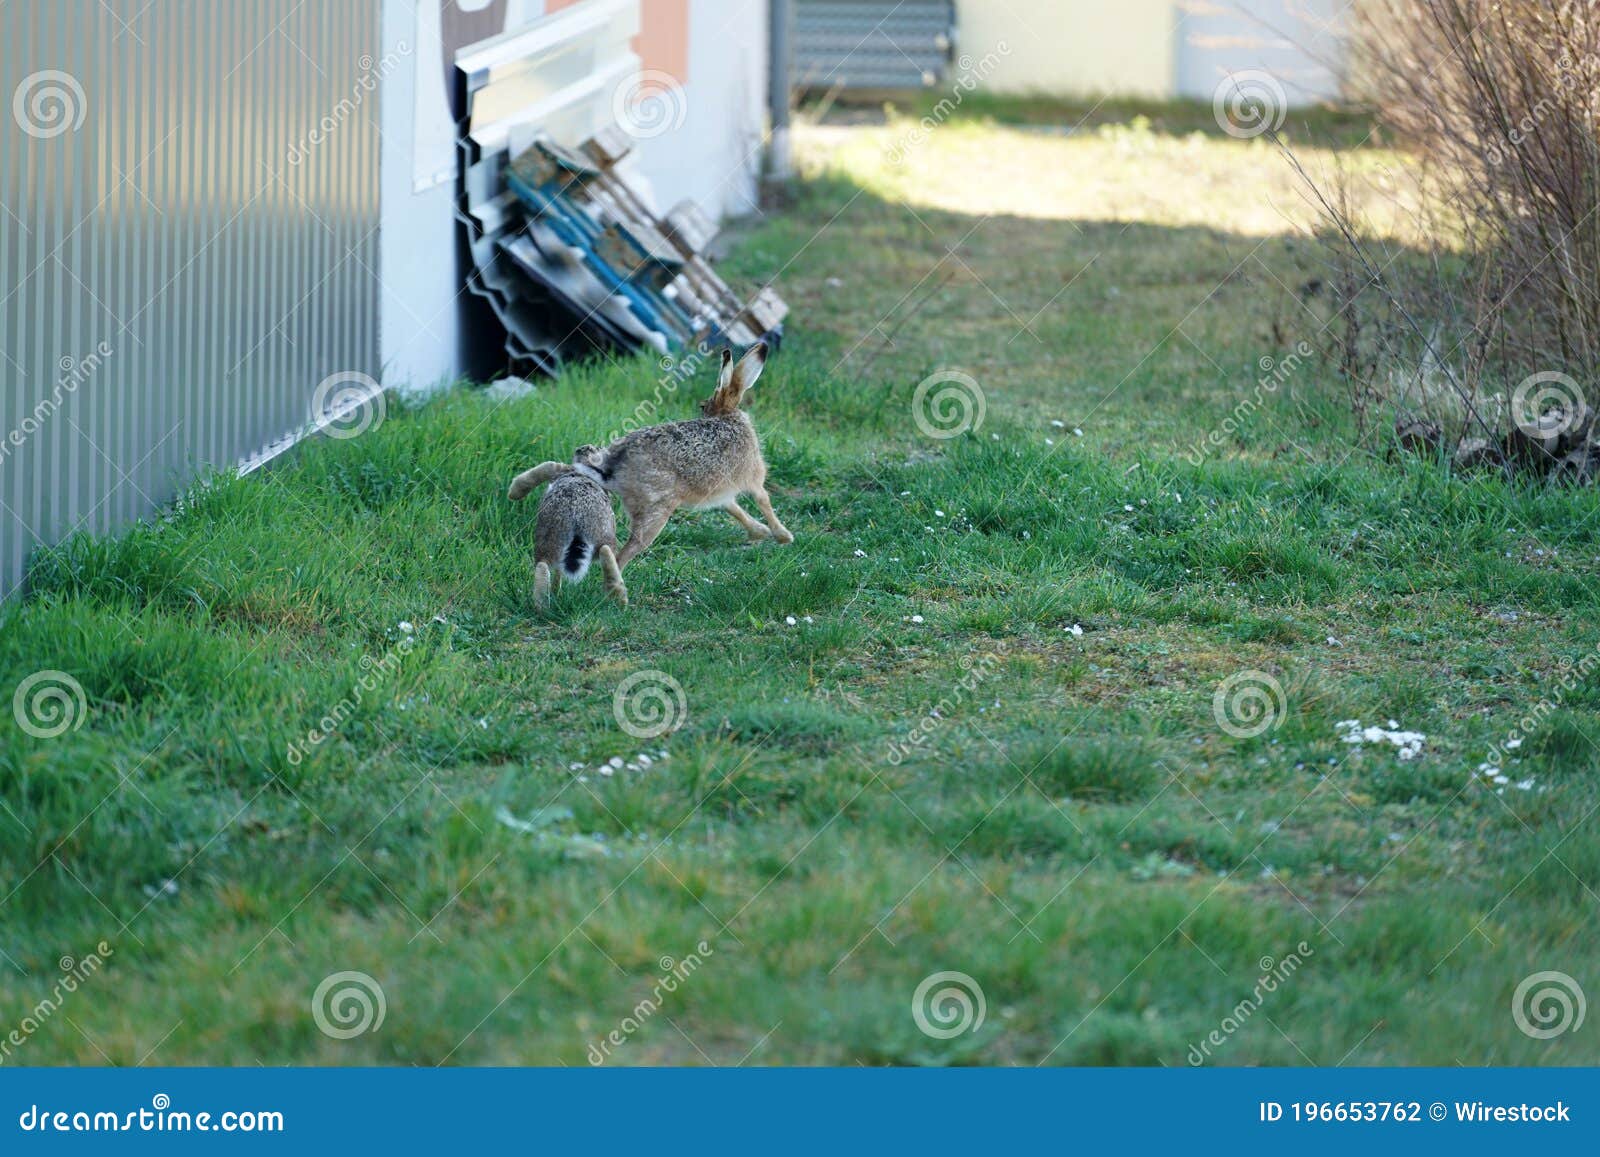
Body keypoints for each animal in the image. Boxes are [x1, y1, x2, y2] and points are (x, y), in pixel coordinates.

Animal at [506, 342, 792, 569]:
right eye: (702, 406)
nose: (702, 410)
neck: (728, 416)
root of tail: (615, 465)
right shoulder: (752, 480)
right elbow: (763, 501)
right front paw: (783, 535)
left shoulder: (720, 494)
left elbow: (735, 510)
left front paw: (760, 532)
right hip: (657, 511)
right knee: (624, 553)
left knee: (564, 466)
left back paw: (516, 490)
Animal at [506, 465, 627, 608]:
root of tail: (577, 515)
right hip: (599, 535)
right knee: (606, 552)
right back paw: (621, 600)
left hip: (551, 538)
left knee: (543, 565)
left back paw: (541, 606)